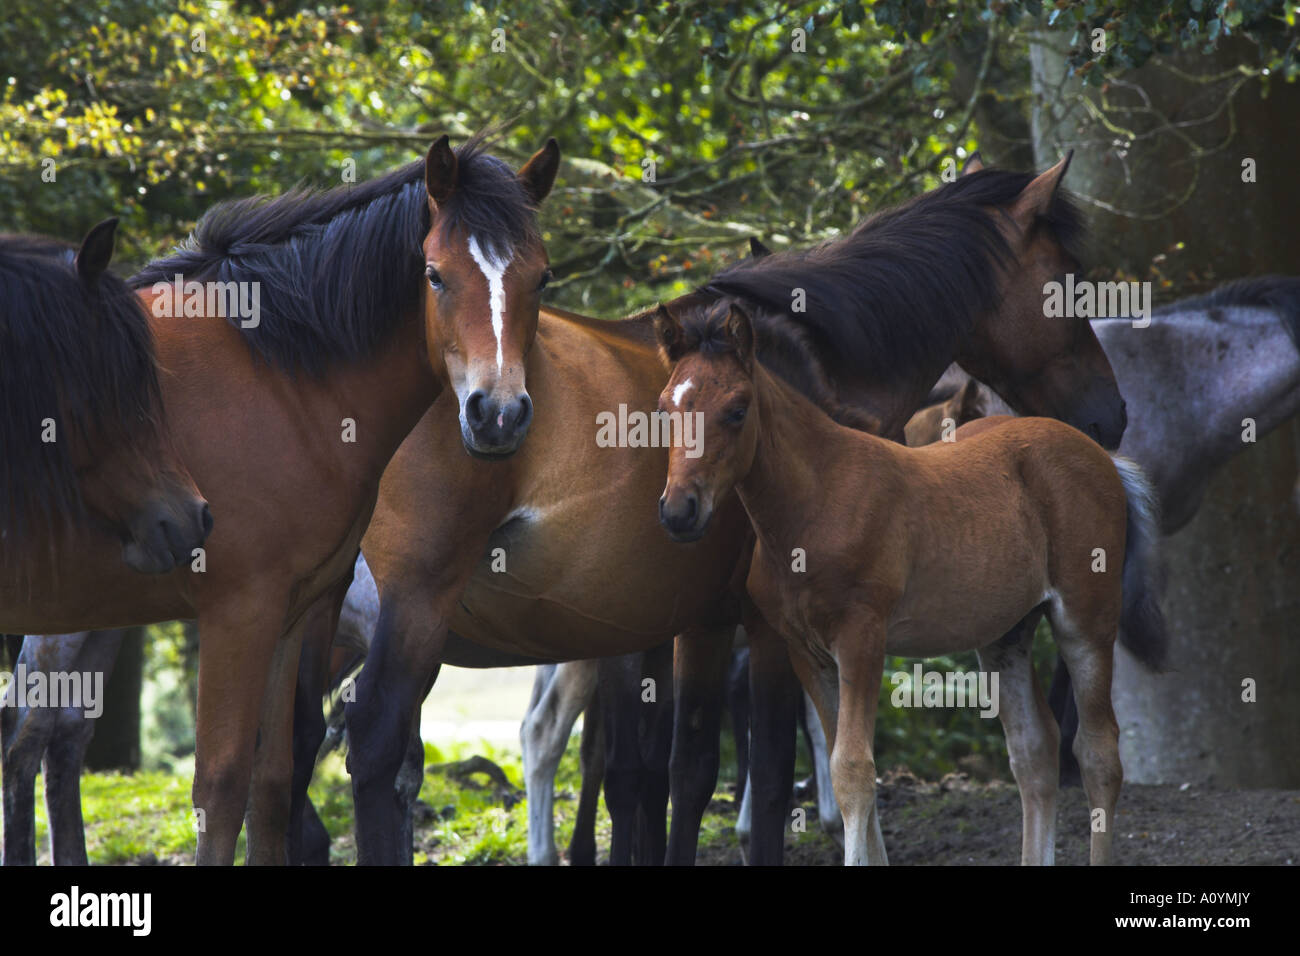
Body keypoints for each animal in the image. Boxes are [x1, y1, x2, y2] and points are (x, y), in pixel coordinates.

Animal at [1, 133, 559, 865]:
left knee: (58, 740)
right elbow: (221, 786)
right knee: (26, 741)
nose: (496, 415)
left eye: (541, 278)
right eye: (435, 275)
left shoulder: (295, 615)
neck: (278, 377)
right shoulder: (241, 613)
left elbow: (271, 785)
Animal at [654, 297, 1164, 865]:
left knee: (1099, 754)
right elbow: (846, 766)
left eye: (738, 409)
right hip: (1004, 635)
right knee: (1035, 751)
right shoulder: (807, 653)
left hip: (1086, 621)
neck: (817, 500)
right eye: (665, 408)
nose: (679, 511)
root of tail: (1103, 458)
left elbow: (853, 770)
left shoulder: (862, 638)